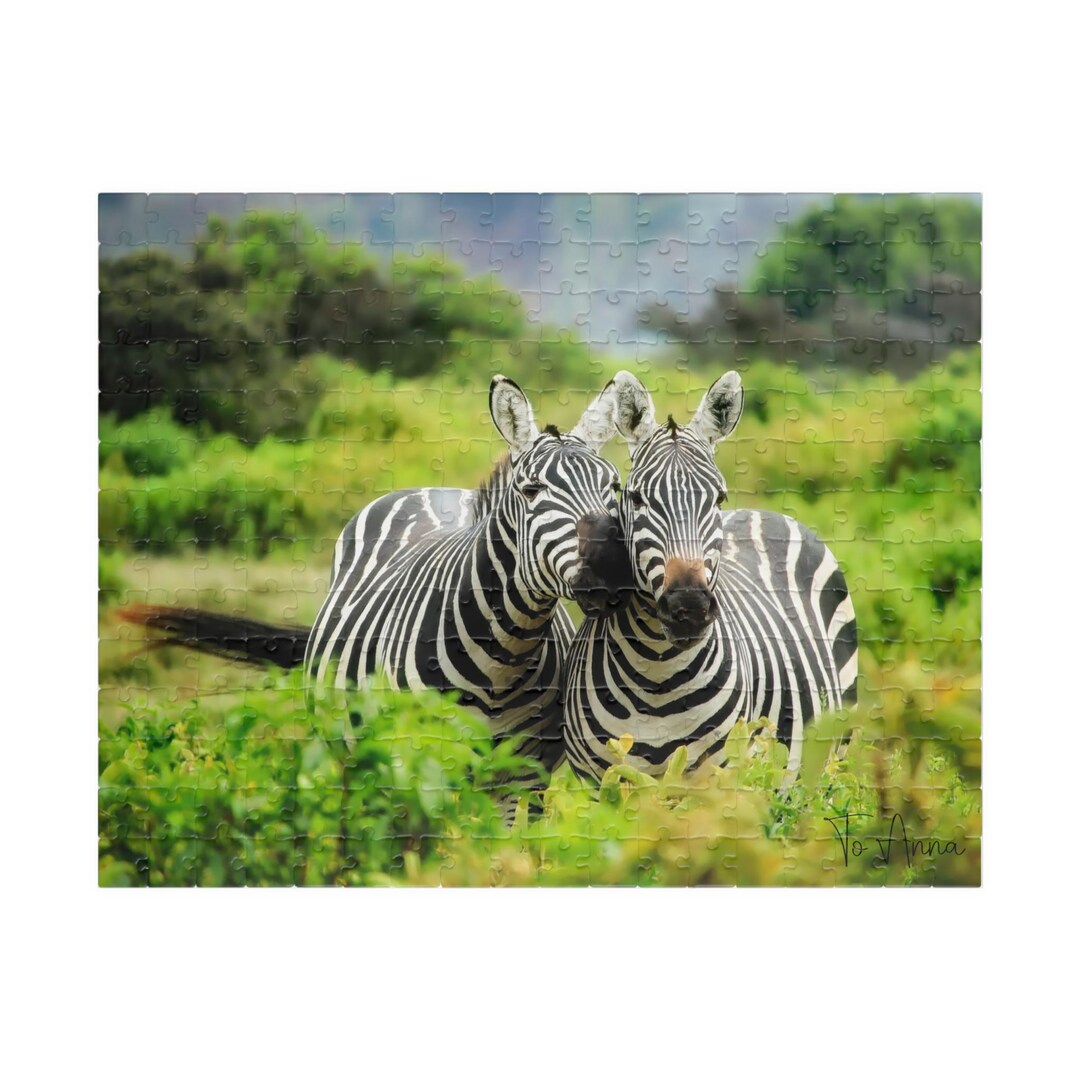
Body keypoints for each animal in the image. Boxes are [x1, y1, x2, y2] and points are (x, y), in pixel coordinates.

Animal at [563, 370, 859, 783]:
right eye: (636, 498)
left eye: (718, 498)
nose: (689, 608)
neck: (658, 678)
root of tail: (764, 512)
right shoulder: (599, 783)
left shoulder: (719, 780)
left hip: (832, 758)